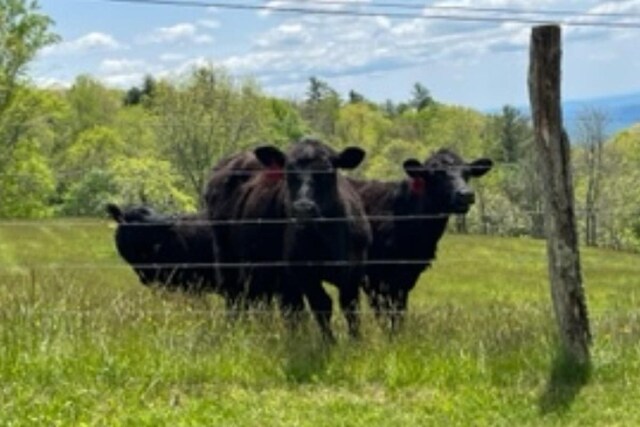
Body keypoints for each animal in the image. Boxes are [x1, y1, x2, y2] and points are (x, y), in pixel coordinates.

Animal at [204, 138, 371, 341]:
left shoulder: (353, 269)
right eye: (288, 172)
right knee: (236, 298)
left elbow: (350, 307)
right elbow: (321, 304)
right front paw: (329, 342)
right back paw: (236, 330)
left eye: (326, 171)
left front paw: (356, 340)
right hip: (229, 261)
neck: (324, 240)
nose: (303, 208)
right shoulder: (303, 272)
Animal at [347, 148, 493, 332]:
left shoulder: (406, 276)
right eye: (437, 174)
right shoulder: (374, 277)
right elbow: (383, 312)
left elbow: (399, 311)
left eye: (467, 173)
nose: (466, 195)